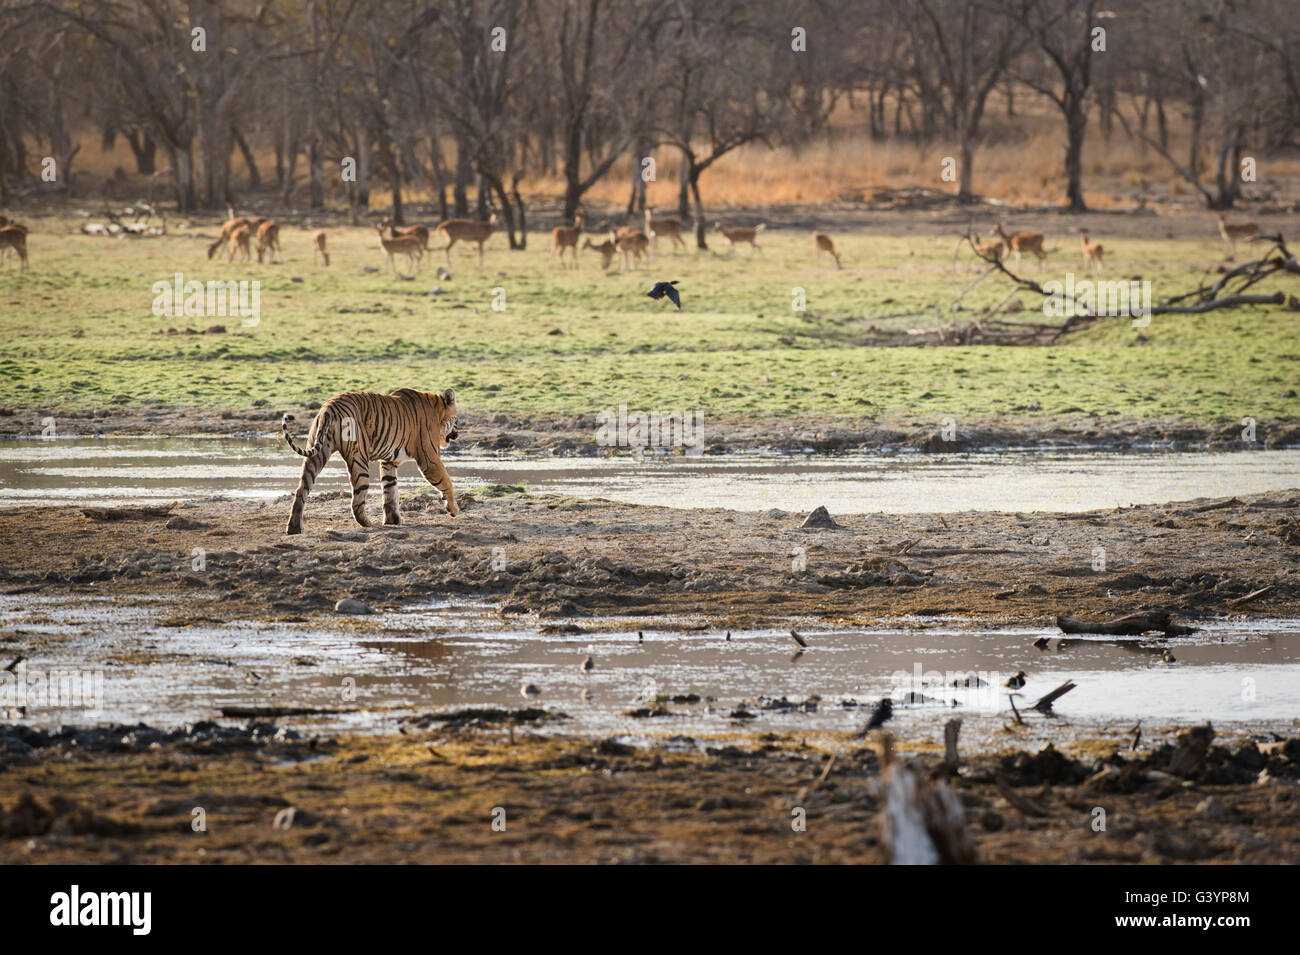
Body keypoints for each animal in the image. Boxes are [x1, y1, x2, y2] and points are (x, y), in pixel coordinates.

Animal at [281, 387, 460, 535]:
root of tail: (329, 408)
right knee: (357, 499)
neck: (437, 410)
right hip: (359, 458)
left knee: (301, 490)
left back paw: (294, 528)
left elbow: (389, 489)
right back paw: (368, 523)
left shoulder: (389, 461)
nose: (458, 433)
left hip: (316, 454)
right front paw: (453, 509)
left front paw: (392, 520)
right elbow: (446, 481)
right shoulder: (429, 459)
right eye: (457, 420)